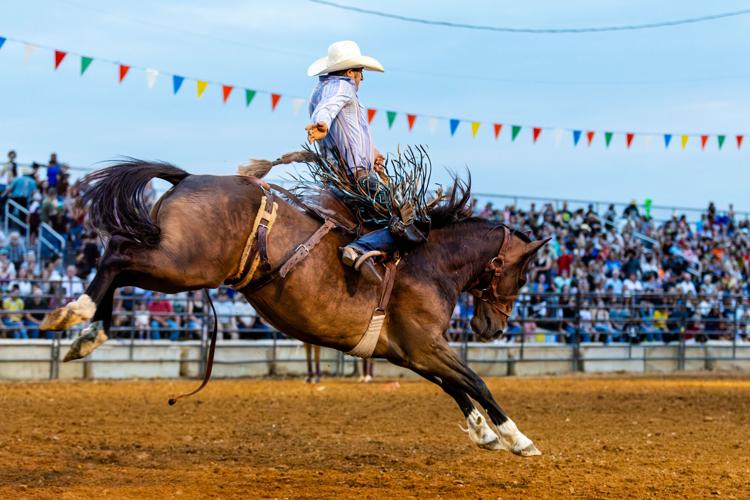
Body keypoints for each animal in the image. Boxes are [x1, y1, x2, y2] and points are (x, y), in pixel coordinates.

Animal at [40, 160, 548, 456]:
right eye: (523, 275)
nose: (492, 328)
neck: (428, 262)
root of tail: (189, 177)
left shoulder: (409, 351)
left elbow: (453, 386)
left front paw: (484, 433)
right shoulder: (426, 345)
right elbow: (474, 381)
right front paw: (517, 438)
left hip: (177, 262)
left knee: (120, 260)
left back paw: (87, 336)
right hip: (183, 265)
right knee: (117, 256)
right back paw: (74, 314)